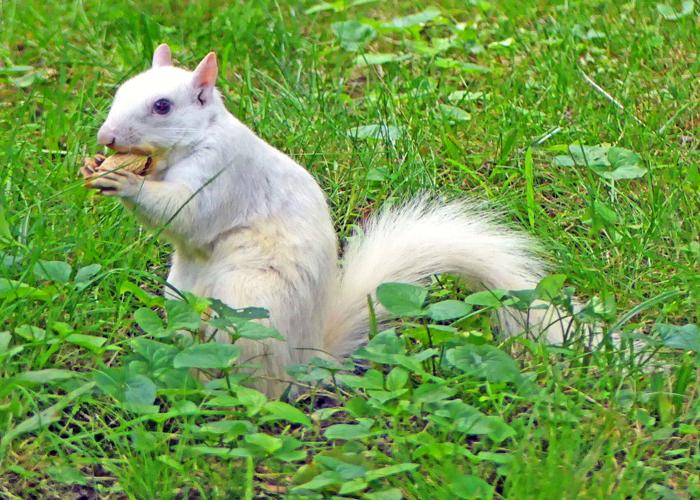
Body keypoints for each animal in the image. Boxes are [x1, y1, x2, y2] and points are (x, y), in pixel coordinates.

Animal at [84, 44, 577, 397]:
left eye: (162, 106)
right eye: (120, 92)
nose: (106, 136)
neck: (190, 146)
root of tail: (305, 358)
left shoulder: (222, 173)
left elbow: (186, 212)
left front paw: (124, 182)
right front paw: (97, 167)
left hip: (248, 309)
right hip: (183, 297)